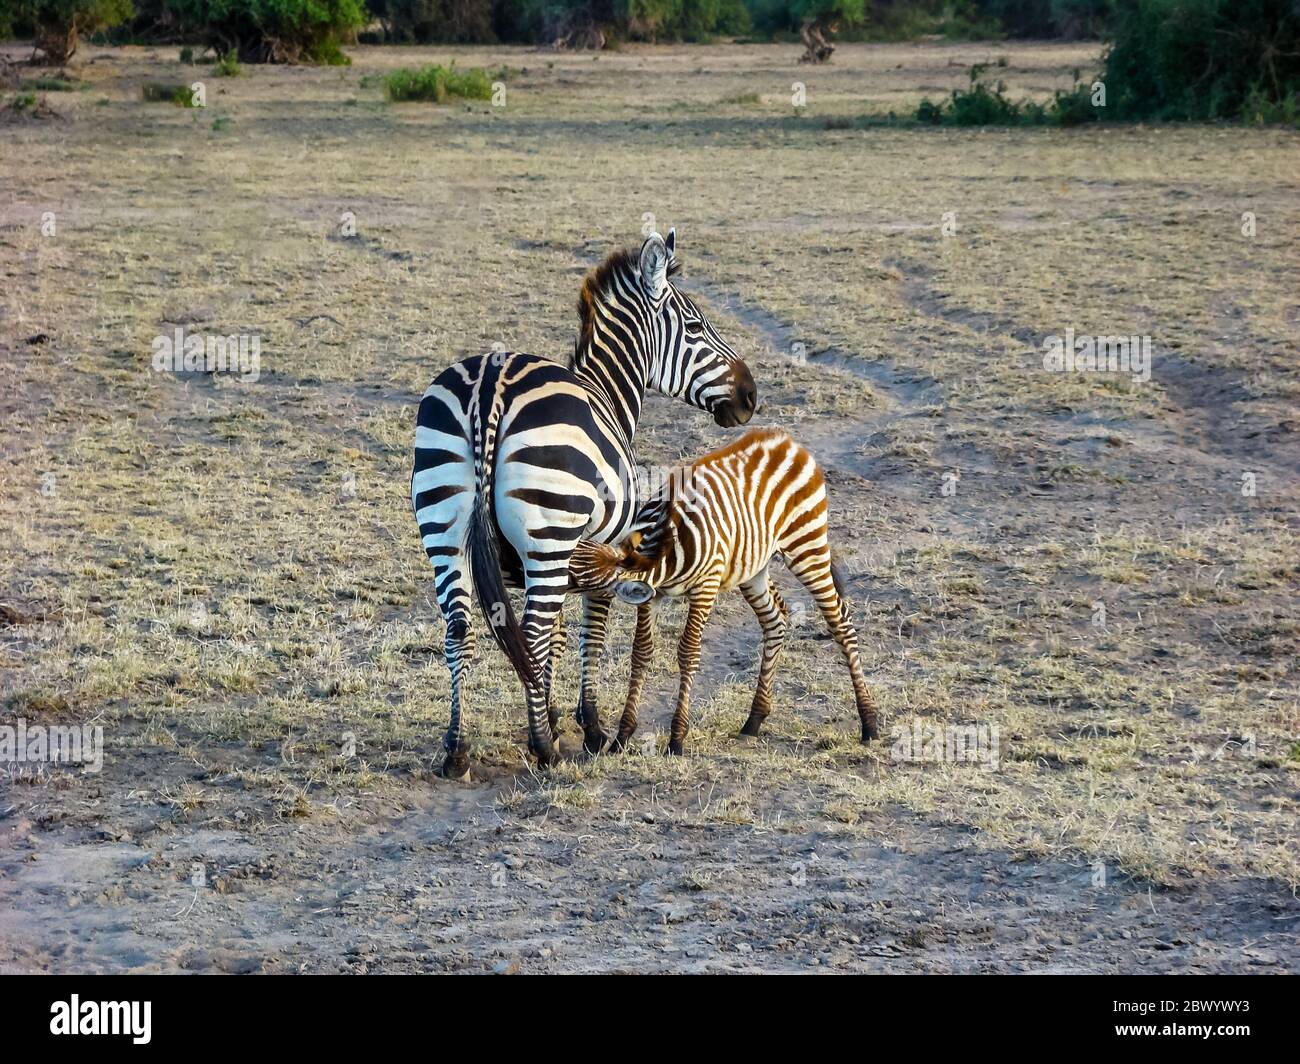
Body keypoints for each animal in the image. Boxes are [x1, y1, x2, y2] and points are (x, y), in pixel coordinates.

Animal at [411, 229, 757, 776]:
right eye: (696, 326)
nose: (750, 395)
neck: (607, 393)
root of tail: (490, 386)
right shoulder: (599, 551)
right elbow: (587, 631)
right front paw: (587, 728)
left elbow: (551, 639)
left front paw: (549, 712)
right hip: (548, 533)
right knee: (529, 630)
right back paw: (544, 752)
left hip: (445, 528)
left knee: (462, 627)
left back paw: (457, 749)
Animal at [567, 426, 880, 755]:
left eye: (574, 577)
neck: (662, 548)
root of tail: (784, 439)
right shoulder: (653, 595)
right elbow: (641, 652)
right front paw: (622, 736)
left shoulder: (705, 586)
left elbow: (688, 652)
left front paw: (676, 739)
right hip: (753, 566)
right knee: (775, 620)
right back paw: (753, 721)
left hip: (806, 544)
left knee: (839, 621)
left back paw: (869, 723)